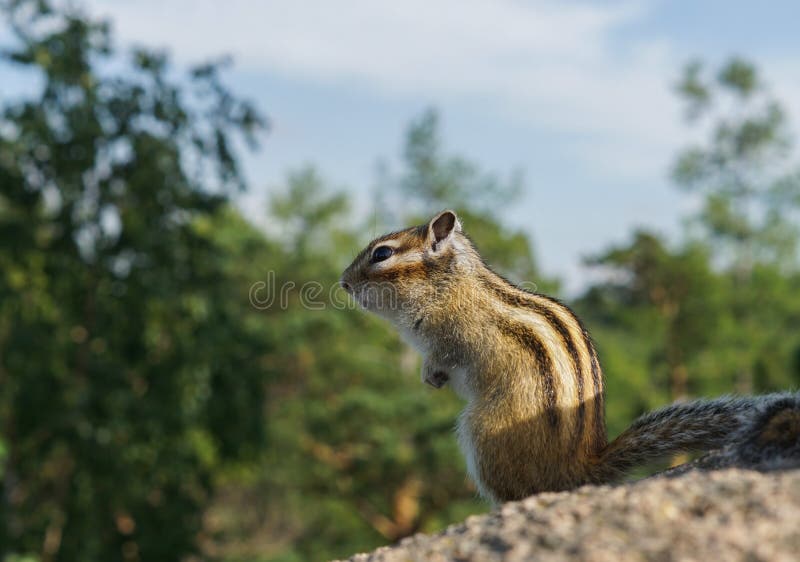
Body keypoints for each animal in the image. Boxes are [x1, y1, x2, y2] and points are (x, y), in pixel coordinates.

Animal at [340, 210, 800, 503]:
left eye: (382, 254)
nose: (342, 282)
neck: (449, 284)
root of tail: (581, 468)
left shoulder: (450, 338)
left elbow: (442, 357)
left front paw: (430, 376)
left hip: (482, 433)